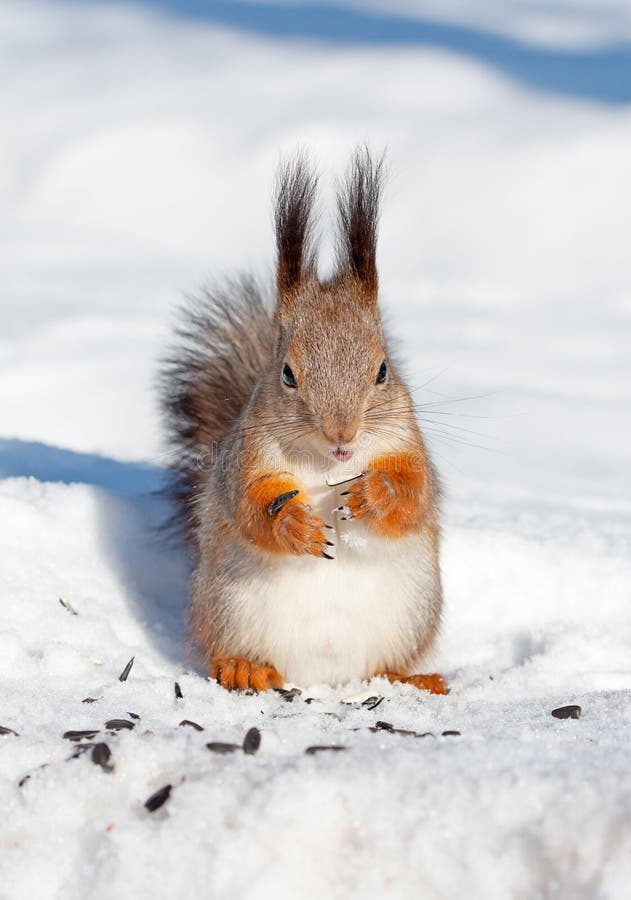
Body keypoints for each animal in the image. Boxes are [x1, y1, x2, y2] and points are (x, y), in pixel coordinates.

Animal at [160, 148, 446, 695]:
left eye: (383, 369)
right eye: (287, 373)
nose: (342, 436)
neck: (330, 465)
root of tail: (323, 675)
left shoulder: (409, 445)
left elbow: (414, 497)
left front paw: (375, 494)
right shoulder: (246, 458)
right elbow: (251, 506)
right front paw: (293, 523)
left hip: (414, 612)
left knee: (383, 667)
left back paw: (411, 680)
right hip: (229, 605)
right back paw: (244, 667)